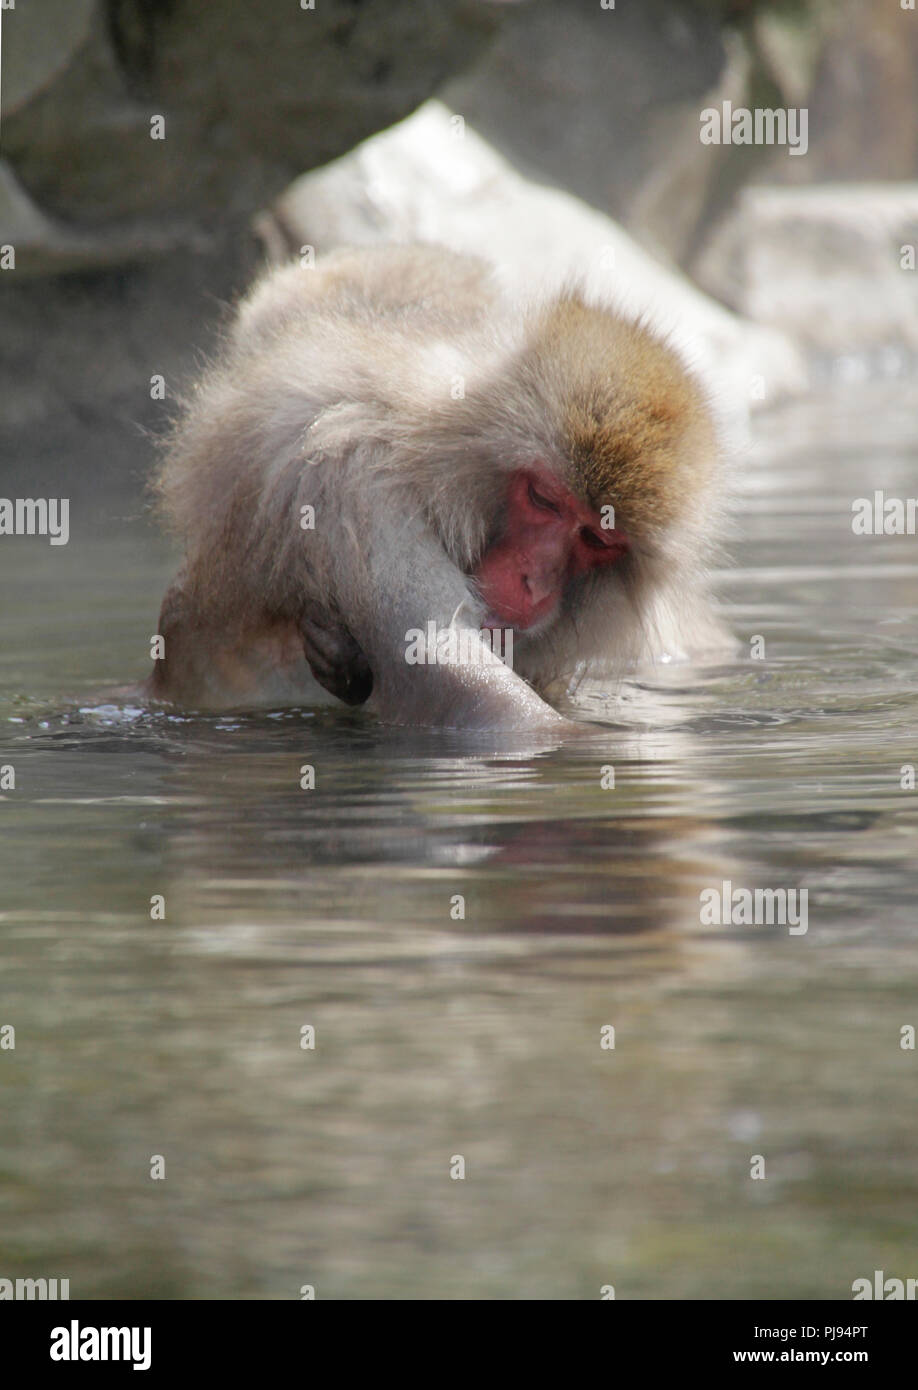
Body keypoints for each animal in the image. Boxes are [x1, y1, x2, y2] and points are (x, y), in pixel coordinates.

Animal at [148, 243, 728, 730]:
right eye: (544, 500)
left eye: (596, 539)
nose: (534, 580)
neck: (433, 453)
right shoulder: (355, 483)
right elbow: (458, 681)